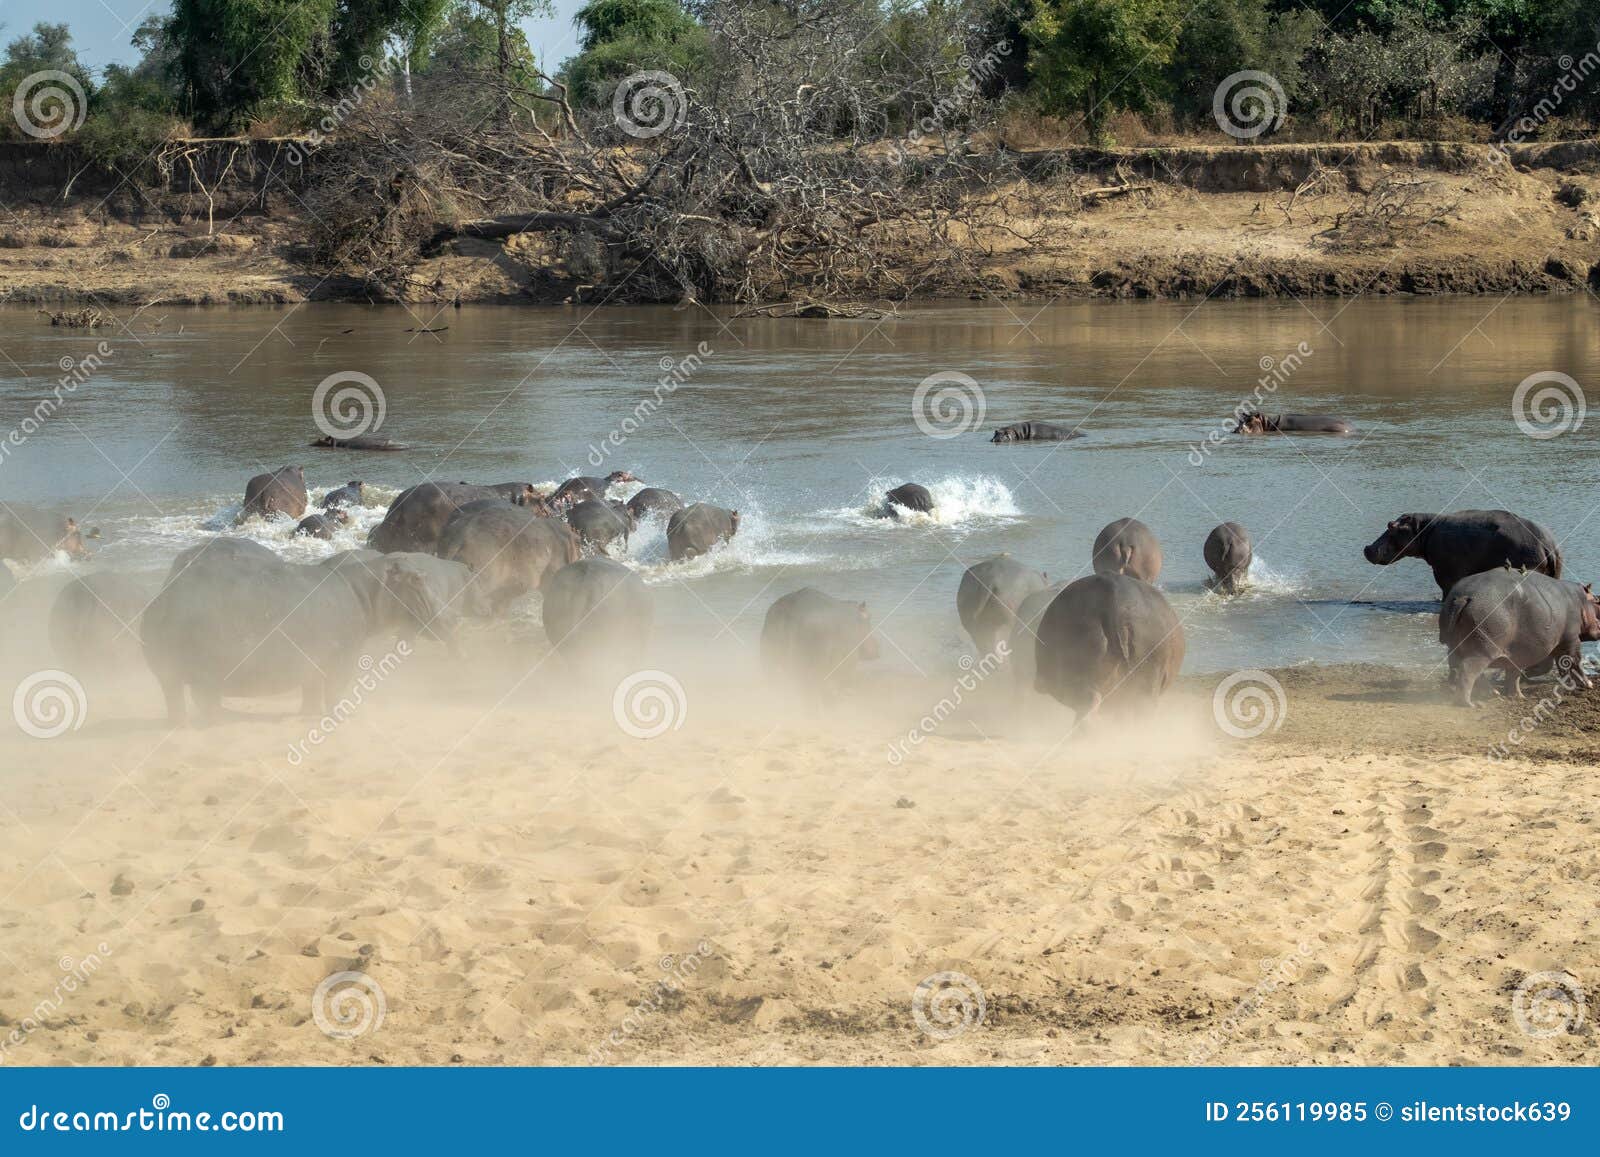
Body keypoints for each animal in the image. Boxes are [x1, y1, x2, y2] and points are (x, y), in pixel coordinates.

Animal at [140, 537, 400, 725]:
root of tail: (164, 596)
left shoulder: (314, 662)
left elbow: (313, 688)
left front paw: (308, 715)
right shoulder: (340, 656)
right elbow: (334, 687)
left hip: (176, 671)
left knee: (180, 699)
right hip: (205, 669)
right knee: (201, 699)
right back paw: (220, 719)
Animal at [1363, 509, 1562, 596]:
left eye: (1391, 526)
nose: (1366, 548)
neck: (1423, 529)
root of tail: (1548, 545)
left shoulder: (1443, 572)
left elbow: (1446, 588)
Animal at [1439, 567, 1600, 707]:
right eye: (1596, 600)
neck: (1580, 599)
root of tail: (1462, 597)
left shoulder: (1524, 651)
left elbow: (1517, 673)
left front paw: (1518, 695)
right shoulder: (1570, 640)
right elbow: (1575, 662)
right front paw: (1588, 684)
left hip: (1458, 647)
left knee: (1463, 668)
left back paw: (1493, 694)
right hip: (1481, 650)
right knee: (1468, 671)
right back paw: (1471, 704)